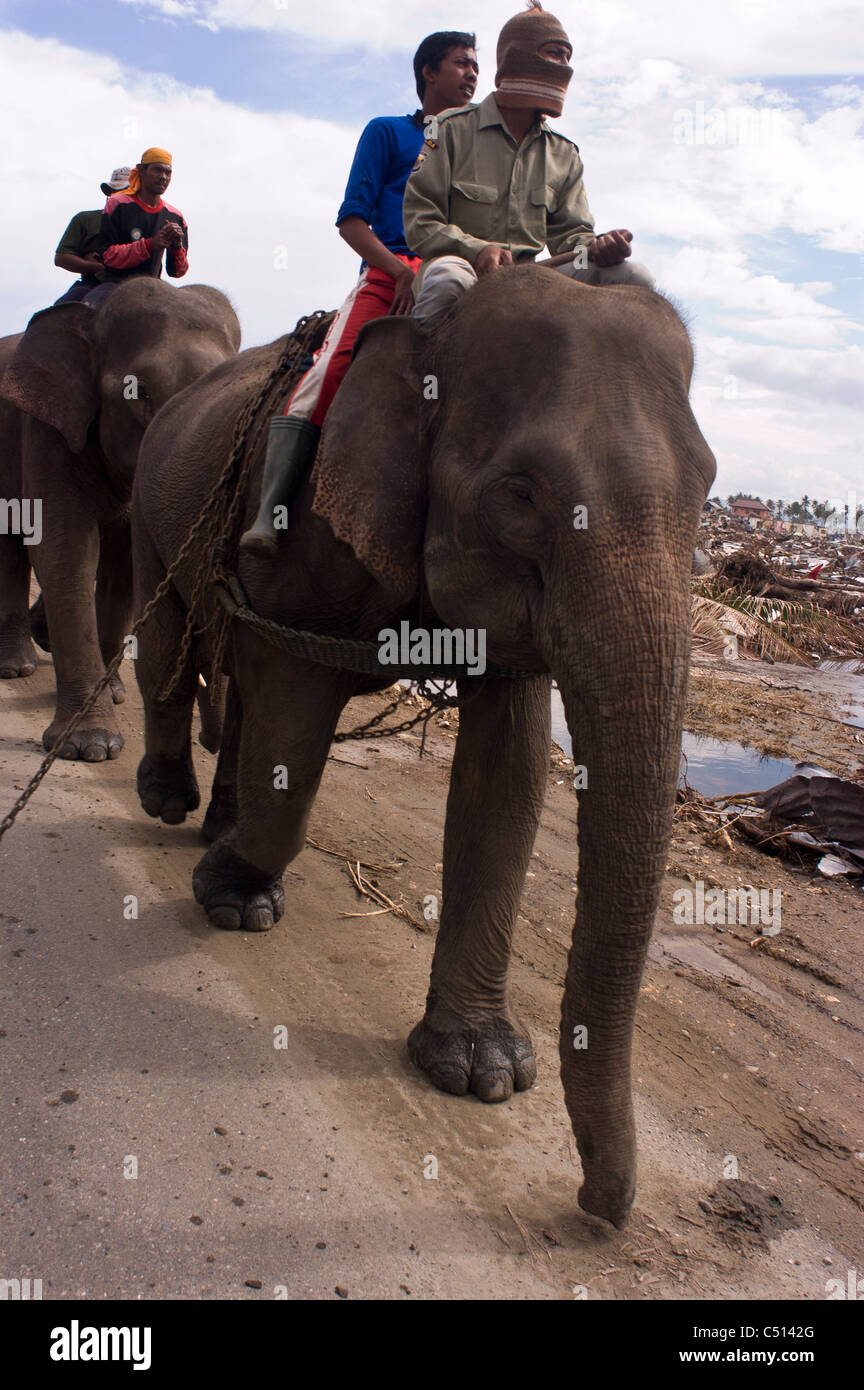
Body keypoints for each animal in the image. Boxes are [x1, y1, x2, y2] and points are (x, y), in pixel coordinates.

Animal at [0, 278, 240, 760]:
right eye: (139, 392)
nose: (212, 745)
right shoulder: (50, 428)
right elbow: (65, 548)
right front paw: (90, 748)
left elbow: (125, 564)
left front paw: (110, 695)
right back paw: (16, 668)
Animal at [130, 265, 716, 1228]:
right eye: (521, 493)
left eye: (708, 492)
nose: (600, 1206)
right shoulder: (309, 529)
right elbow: (298, 712)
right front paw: (232, 899)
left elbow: (508, 772)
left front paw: (481, 1071)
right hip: (163, 499)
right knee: (171, 639)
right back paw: (174, 808)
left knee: (238, 679)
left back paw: (217, 828)